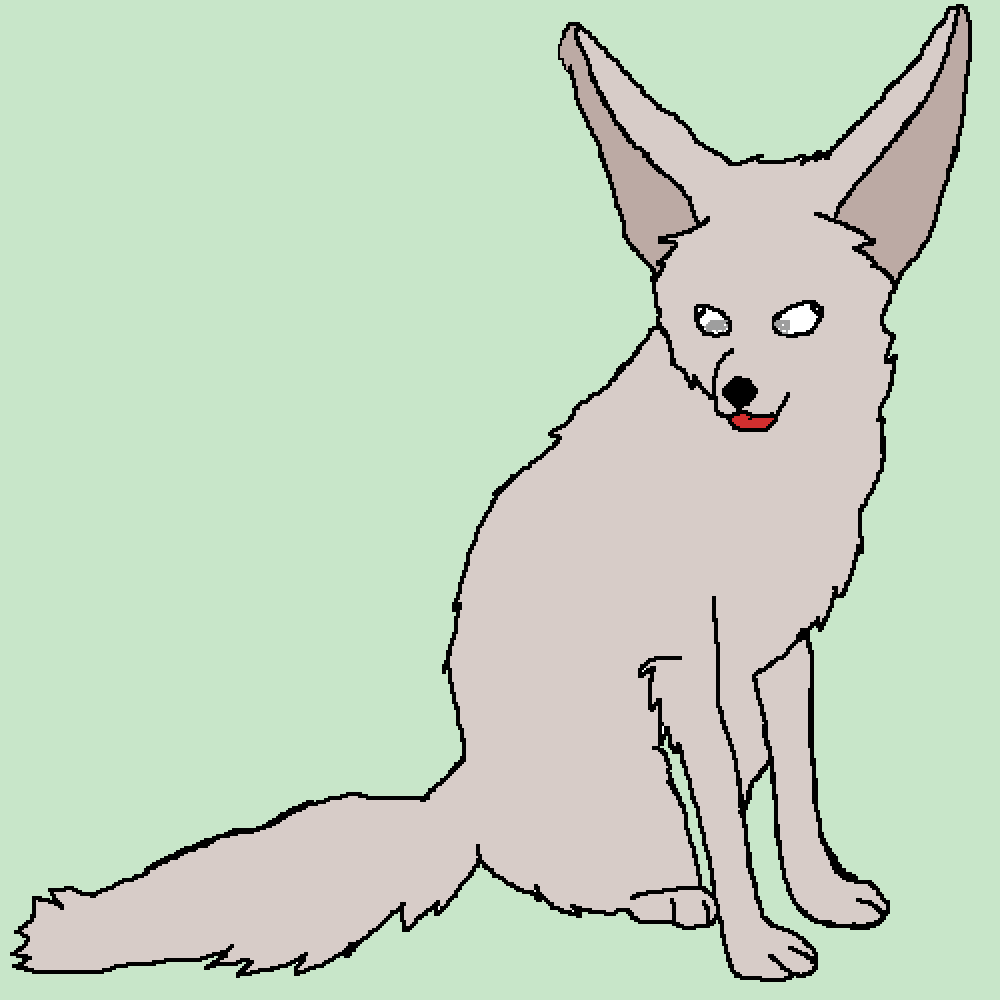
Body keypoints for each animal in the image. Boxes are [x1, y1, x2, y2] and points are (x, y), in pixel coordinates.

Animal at [15, 7, 970, 983]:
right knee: (587, 868)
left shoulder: (783, 648)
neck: (768, 483)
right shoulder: (687, 667)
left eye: (798, 318)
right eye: (710, 322)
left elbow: (799, 786)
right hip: (635, 754)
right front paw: (754, 945)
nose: (735, 388)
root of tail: (460, 795)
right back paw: (672, 898)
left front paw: (822, 896)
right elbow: (730, 832)